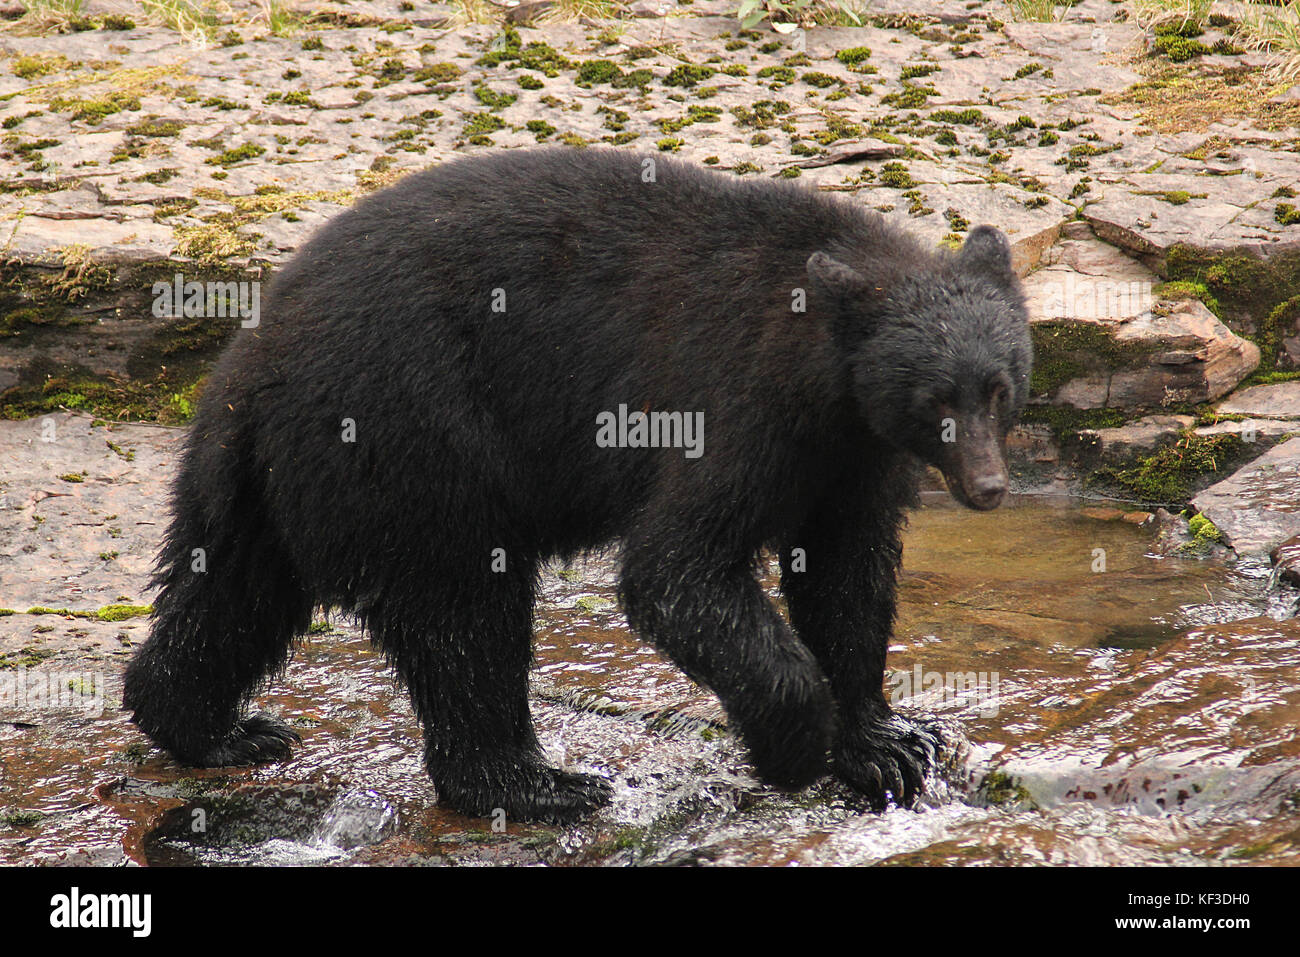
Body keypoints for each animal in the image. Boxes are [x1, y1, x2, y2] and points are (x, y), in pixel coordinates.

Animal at [123, 148, 1032, 824]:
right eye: (938, 399)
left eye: (999, 386)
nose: (989, 486)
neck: (828, 379)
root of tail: (256, 354)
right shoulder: (736, 399)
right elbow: (679, 567)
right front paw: (796, 744)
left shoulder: (852, 459)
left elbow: (849, 575)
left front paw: (890, 743)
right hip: (412, 436)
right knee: (465, 617)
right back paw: (537, 783)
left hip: (268, 477)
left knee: (231, 592)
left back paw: (213, 728)